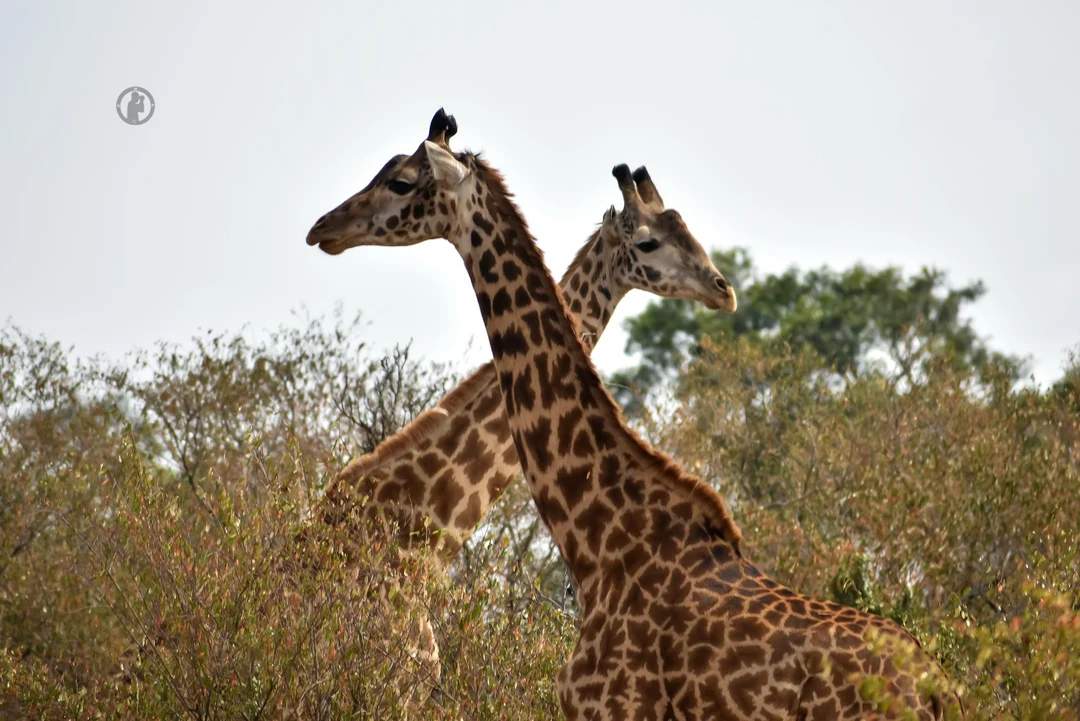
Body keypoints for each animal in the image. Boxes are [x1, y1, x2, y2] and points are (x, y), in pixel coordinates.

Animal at [306, 109, 957, 720]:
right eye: (654, 240)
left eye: (402, 181)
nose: (322, 228)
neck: (600, 542)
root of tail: (935, 690)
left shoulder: (610, 705)